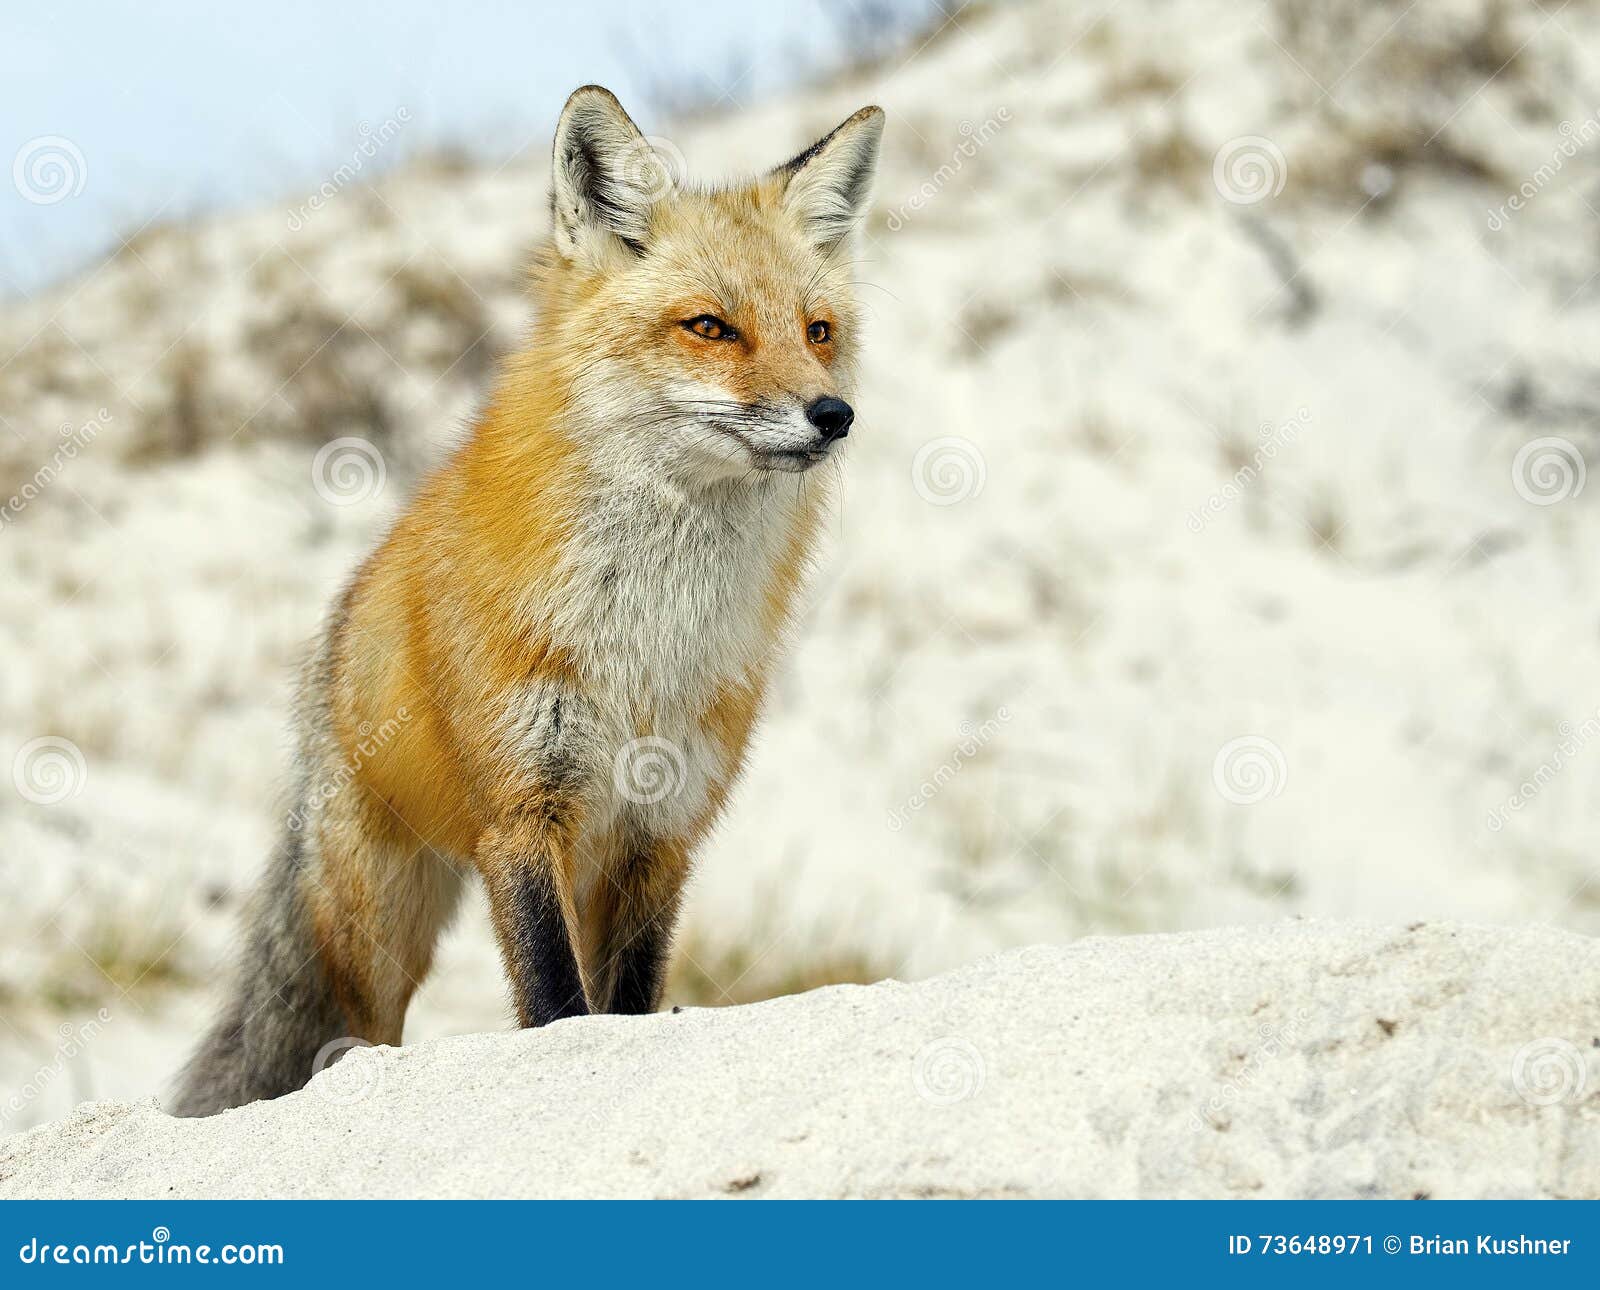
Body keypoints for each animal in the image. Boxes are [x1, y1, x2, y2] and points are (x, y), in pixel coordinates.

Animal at [169, 87, 885, 1116]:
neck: (648, 635)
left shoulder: (662, 831)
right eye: (711, 327)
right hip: (380, 920)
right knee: (357, 1031)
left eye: (817, 331)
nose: (833, 416)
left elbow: (625, 1001)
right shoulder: (521, 809)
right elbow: (555, 1005)